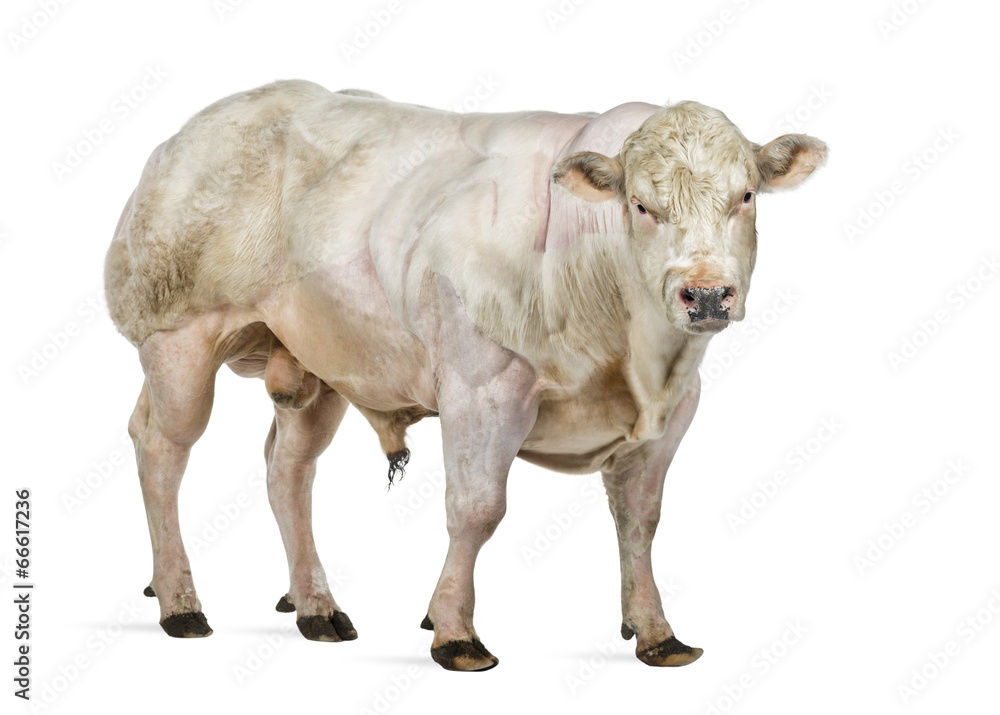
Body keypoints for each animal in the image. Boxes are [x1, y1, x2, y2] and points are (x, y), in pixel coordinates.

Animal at [105, 80, 826, 672]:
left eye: (746, 196)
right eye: (642, 205)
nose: (705, 295)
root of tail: (199, 125)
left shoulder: (673, 413)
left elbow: (640, 518)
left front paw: (656, 631)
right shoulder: (484, 391)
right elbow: (477, 509)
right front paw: (454, 630)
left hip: (323, 365)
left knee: (287, 469)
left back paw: (314, 604)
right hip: (178, 336)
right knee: (161, 447)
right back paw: (180, 600)